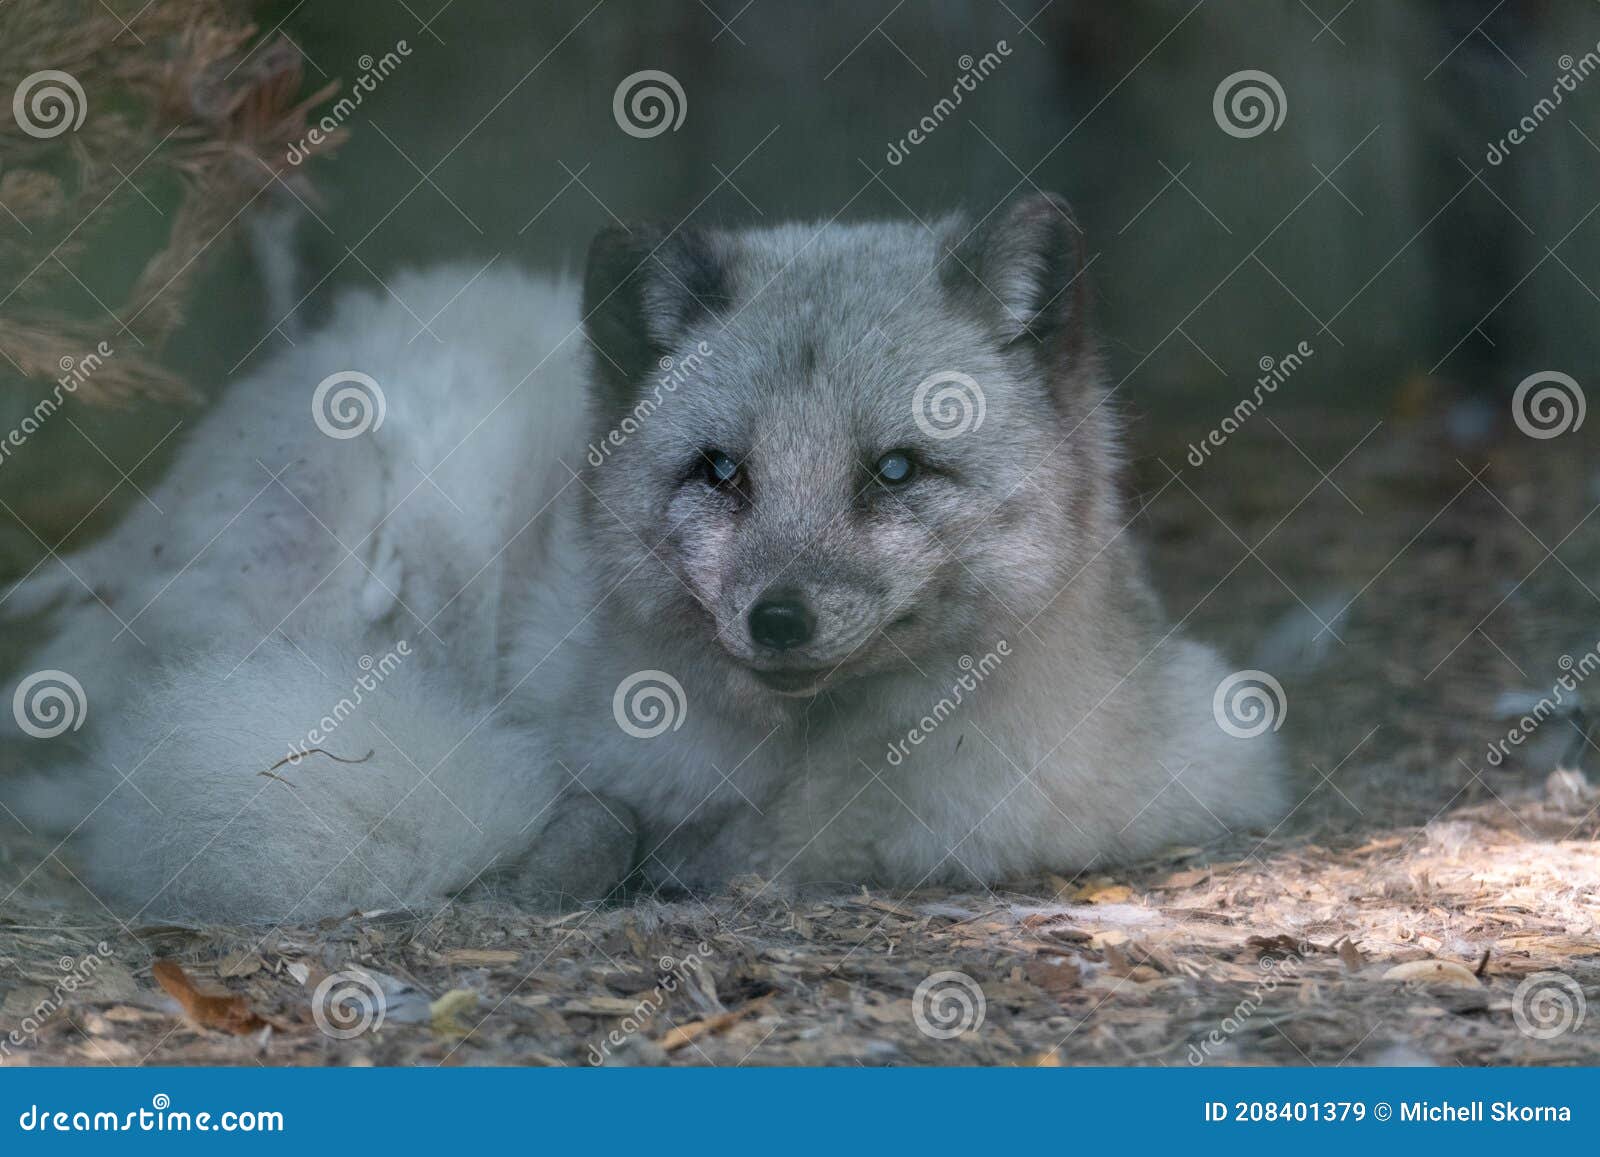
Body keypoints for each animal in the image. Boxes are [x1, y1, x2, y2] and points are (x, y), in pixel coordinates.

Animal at [0, 193, 1287, 923]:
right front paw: (567, 863)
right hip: (388, 518)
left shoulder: (1201, 756)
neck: (813, 779)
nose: (776, 618)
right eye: (719, 470)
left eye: (894, 470)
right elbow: (590, 808)